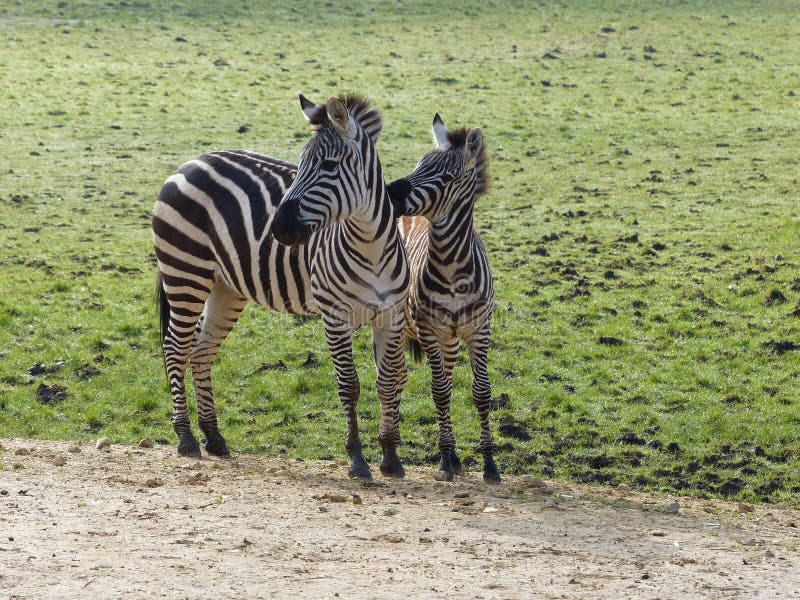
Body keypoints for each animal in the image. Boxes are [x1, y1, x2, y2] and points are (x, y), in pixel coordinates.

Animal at [152, 92, 409, 480]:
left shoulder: (391, 318)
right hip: (185, 274)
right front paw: (357, 459)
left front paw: (391, 457)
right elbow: (349, 385)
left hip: (225, 288)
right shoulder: (335, 318)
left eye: (329, 165)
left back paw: (214, 437)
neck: (371, 248)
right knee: (175, 348)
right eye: (299, 165)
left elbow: (387, 383)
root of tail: (190, 161)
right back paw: (186, 437)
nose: (279, 228)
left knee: (201, 351)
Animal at [386, 113, 500, 483]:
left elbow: (481, 392)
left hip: (451, 339)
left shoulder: (479, 330)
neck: (452, 267)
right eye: (418, 164)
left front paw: (489, 464)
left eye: (448, 177)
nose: (391, 192)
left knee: (446, 376)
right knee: (397, 378)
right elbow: (439, 392)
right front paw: (446, 458)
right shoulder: (428, 330)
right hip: (399, 326)